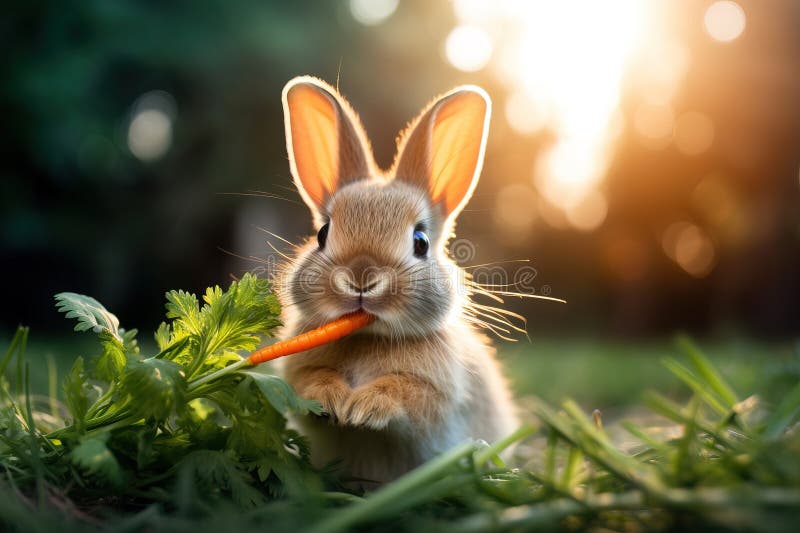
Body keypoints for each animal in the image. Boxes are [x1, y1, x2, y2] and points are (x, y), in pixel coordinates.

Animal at [275, 76, 519, 484]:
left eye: (420, 242)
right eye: (323, 234)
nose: (361, 279)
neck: (368, 335)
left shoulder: (435, 394)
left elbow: (406, 394)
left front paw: (364, 407)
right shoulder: (298, 374)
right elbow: (311, 380)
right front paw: (333, 399)